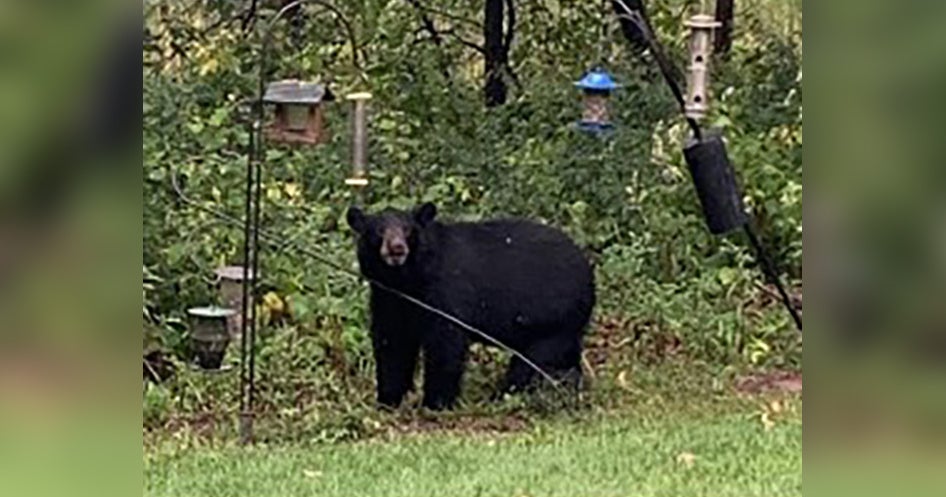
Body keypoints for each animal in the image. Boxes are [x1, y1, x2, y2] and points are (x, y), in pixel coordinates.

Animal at [346, 202, 595, 410]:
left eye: (408, 230)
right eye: (379, 231)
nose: (397, 248)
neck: (405, 280)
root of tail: (588, 270)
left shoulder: (445, 292)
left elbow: (445, 344)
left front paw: (435, 403)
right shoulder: (388, 298)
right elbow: (392, 343)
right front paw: (387, 400)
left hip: (553, 318)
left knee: (533, 362)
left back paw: (505, 395)